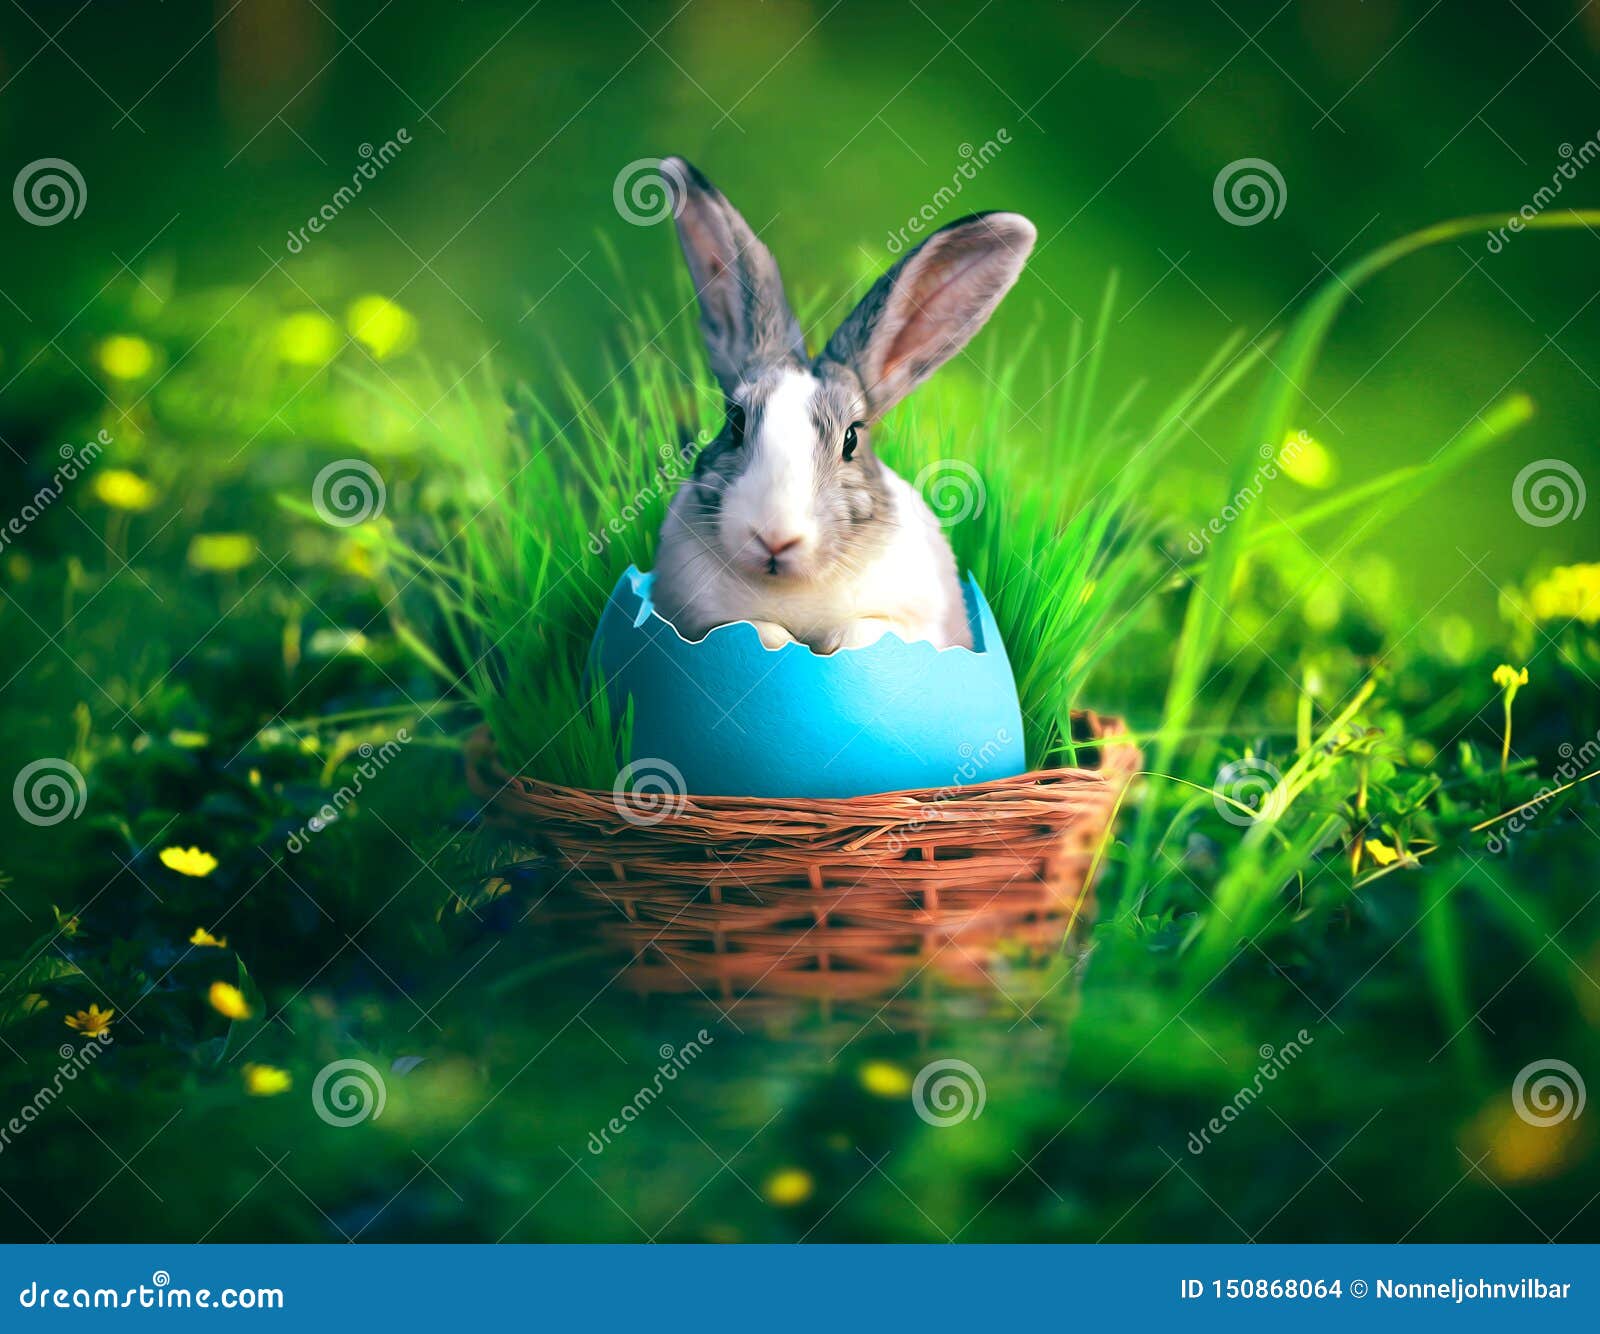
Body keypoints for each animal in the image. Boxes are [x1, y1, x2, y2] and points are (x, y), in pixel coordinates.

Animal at [649, 156, 1035, 655]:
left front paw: (834, 646)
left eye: (851, 438)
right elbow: (756, 630)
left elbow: (863, 631)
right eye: (735, 421)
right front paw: (780, 638)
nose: (775, 537)